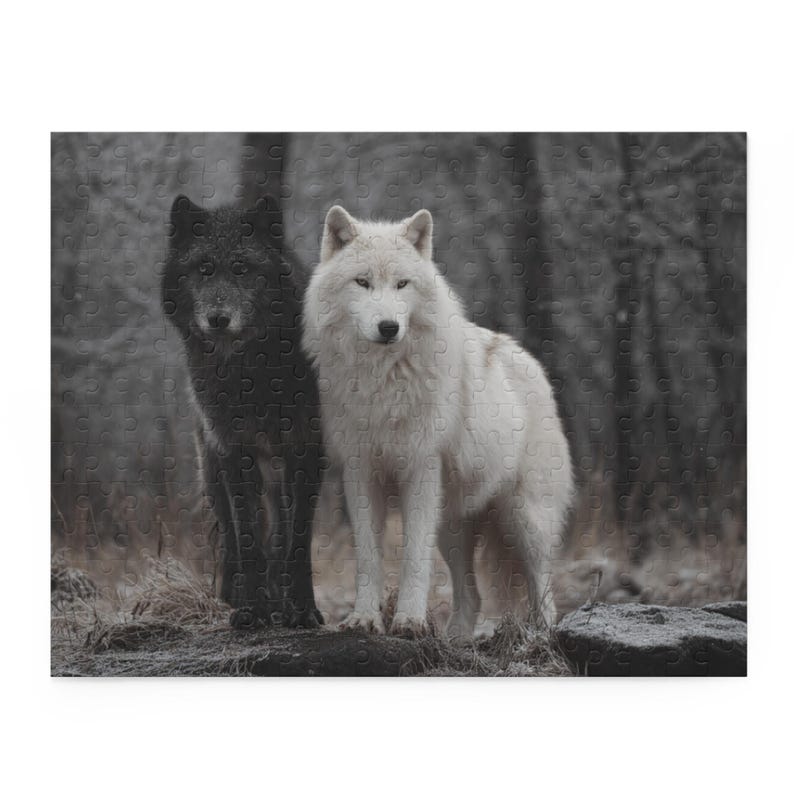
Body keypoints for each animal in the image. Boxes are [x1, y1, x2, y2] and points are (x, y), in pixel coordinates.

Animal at [163, 195, 324, 628]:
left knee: (281, 535)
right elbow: (248, 538)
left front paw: (302, 610)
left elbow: (297, 541)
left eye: (241, 268)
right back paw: (237, 597)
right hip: (213, 472)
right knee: (233, 541)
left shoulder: (307, 449)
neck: (252, 373)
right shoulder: (235, 452)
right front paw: (252, 610)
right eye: (203, 268)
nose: (218, 319)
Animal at [302, 206, 574, 638]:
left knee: (544, 590)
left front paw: (410, 621)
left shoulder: (421, 468)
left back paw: (539, 636)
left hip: (524, 520)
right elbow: (368, 557)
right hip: (452, 527)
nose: (389, 328)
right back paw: (457, 639)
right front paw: (364, 618)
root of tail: (528, 359)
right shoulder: (361, 471)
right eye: (362, 282)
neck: (383, 381)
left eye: (402, 284)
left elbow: (414, 556)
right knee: (472, 596)